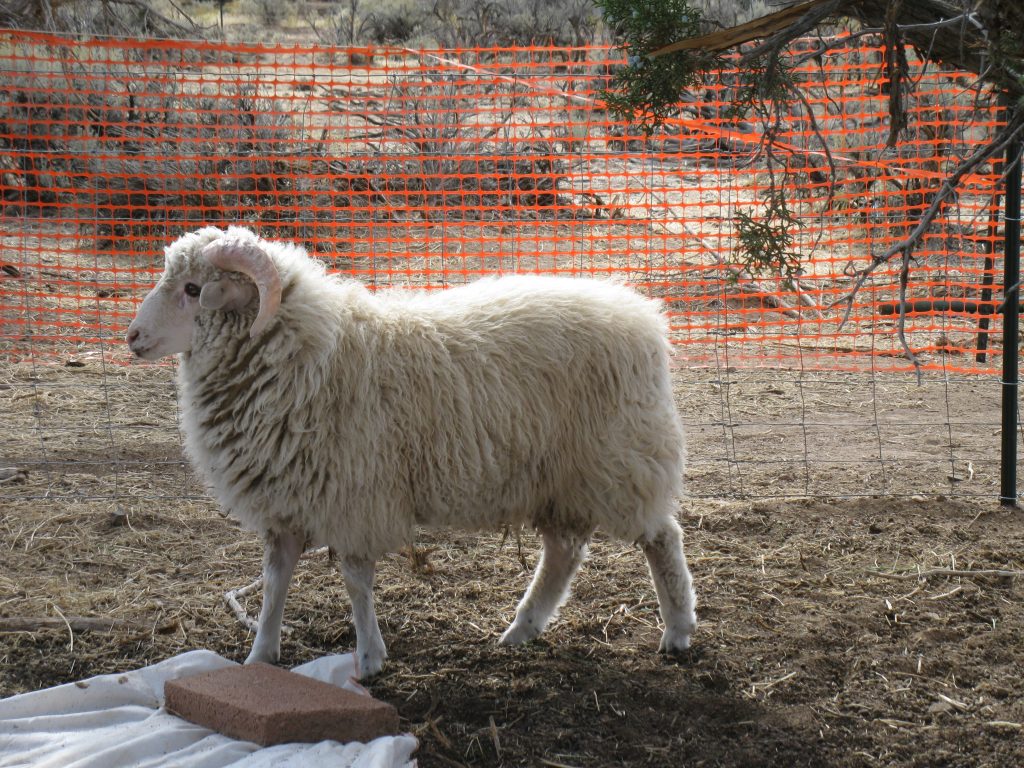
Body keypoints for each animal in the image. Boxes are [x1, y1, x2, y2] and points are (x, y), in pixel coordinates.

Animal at [126, 225, 697, 676]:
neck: (302, 351)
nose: (132, 337)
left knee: (661, 537)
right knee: (563, 553)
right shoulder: (286, 498)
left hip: (621, 457)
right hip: (560, 476)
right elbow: (273, 583)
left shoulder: (354, 494)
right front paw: (259, 656)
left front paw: (370, 658)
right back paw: (522, 630)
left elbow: (356, 581)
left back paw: (678, 631)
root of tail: (643, 316)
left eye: (193, 289)